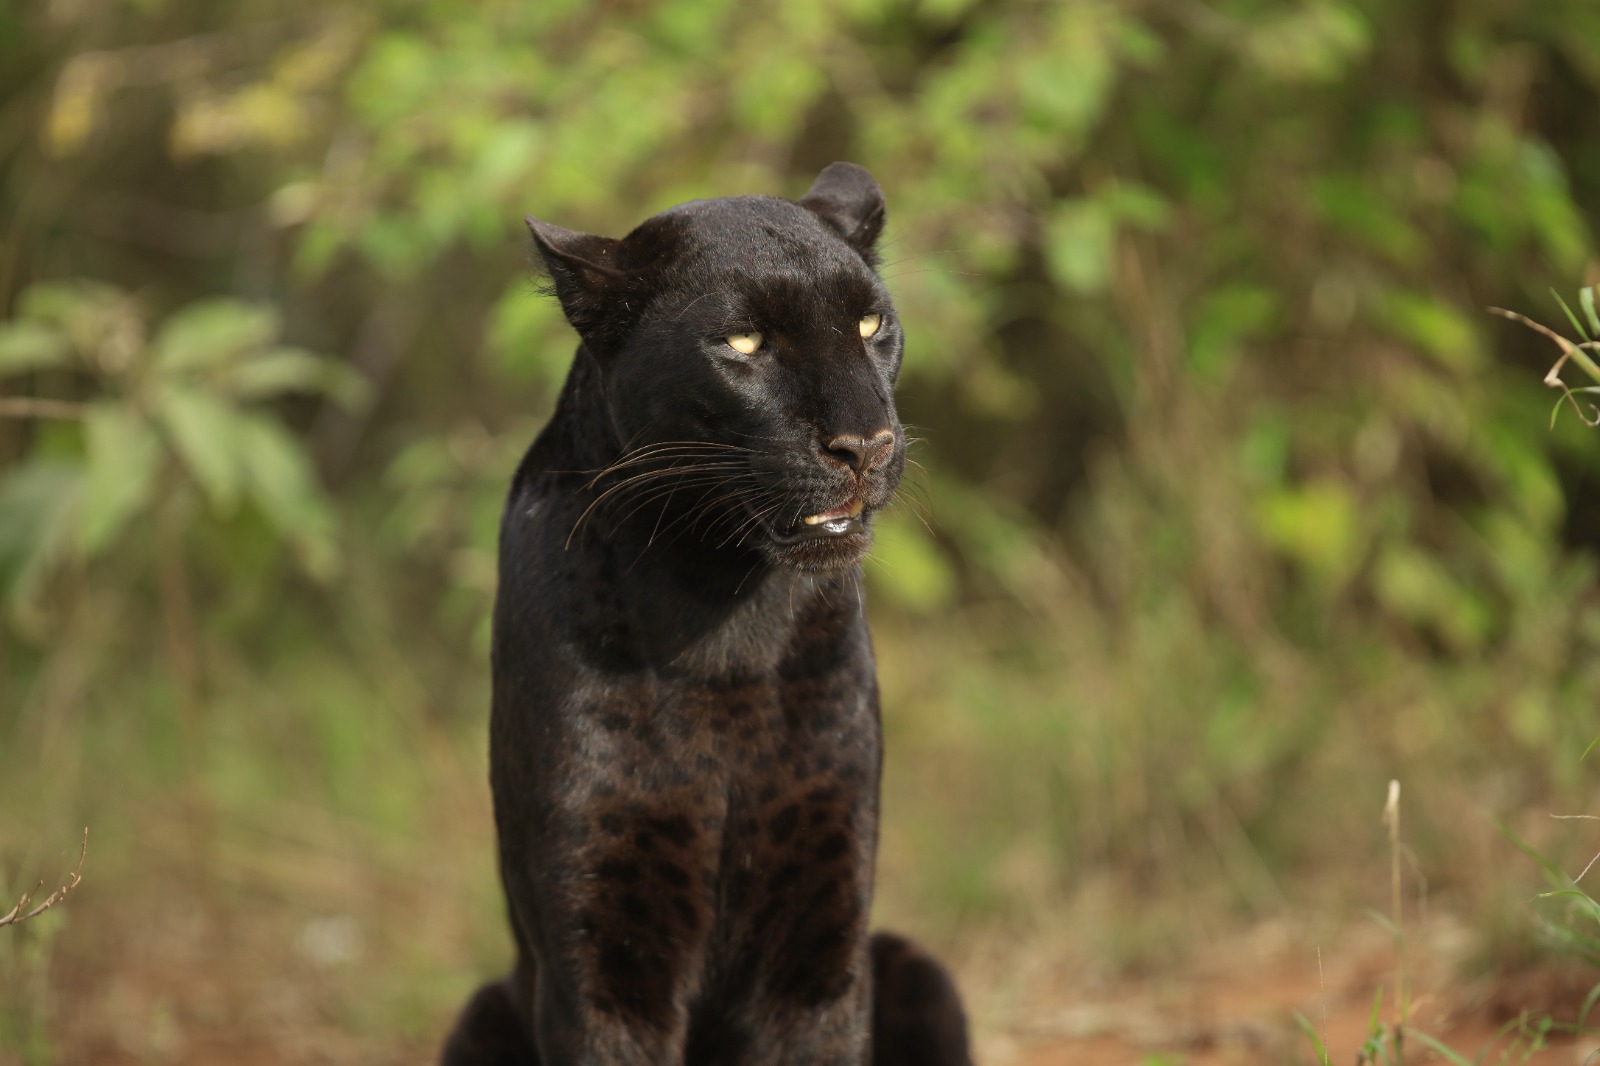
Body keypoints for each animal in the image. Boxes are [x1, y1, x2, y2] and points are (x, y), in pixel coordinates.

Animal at [439, 162, 973, 1066]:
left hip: (917, 966)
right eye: (743, 343)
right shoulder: (602, 949)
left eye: (870, 324)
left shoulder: (820, 939)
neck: (724, 619)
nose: (864, 443)